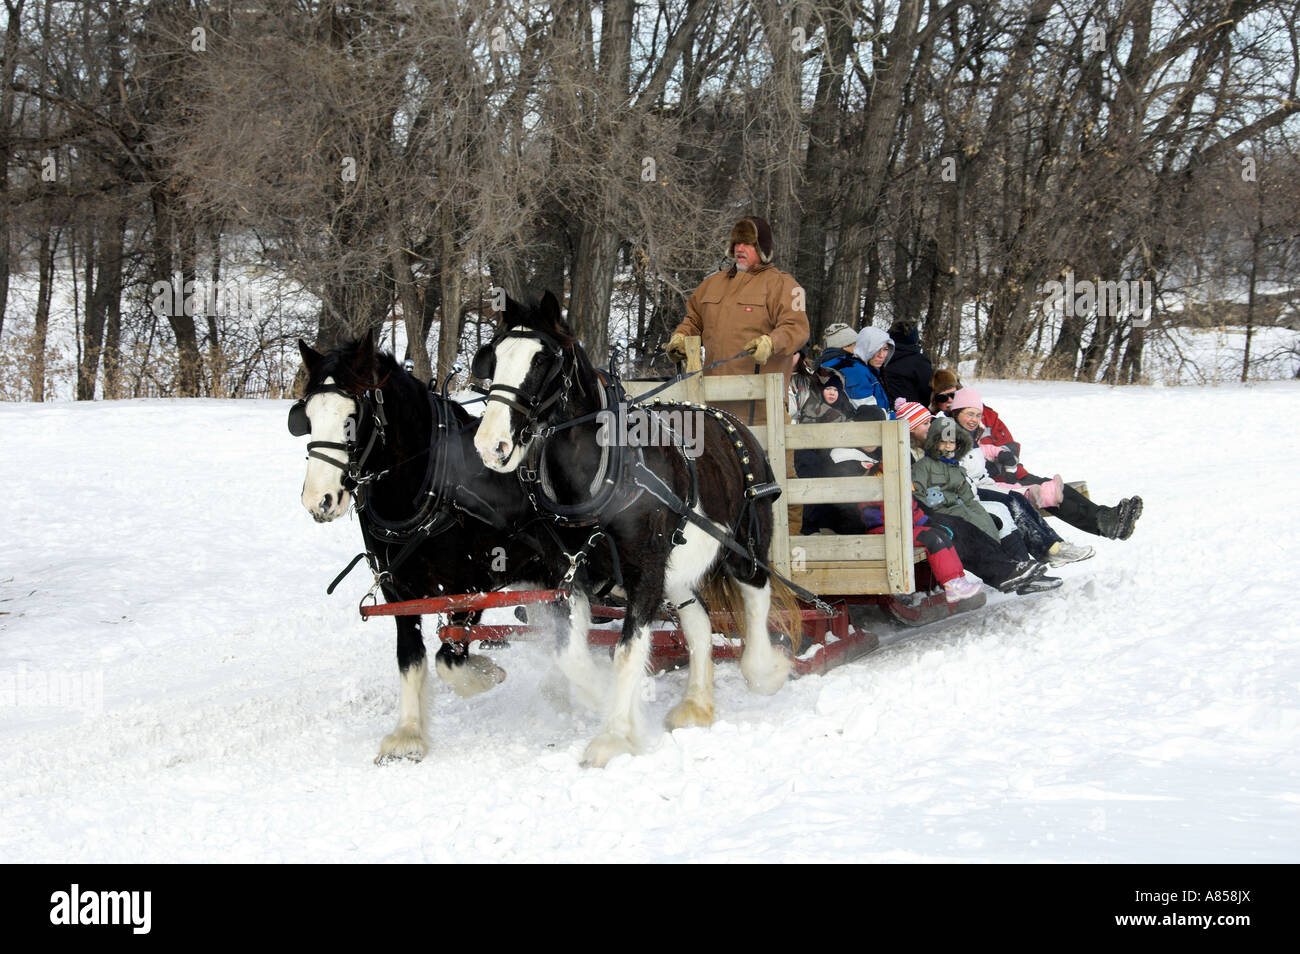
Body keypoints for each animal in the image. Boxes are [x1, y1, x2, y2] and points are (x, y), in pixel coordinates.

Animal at [292, 333, 552, 763]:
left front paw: (487, 672)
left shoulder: (471, 586)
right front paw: (408, 734)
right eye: (306, 417)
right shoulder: (399, 589)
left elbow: (450, 659)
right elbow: (410, 657)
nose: (319, 500)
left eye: (352, 417)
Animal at [472, 291, 797, 767]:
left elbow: (627, 650)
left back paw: (766, 671)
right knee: (699, 621)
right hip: (676, 568)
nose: (490, 445)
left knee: (756, 596)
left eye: (542, 359)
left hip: (743, 544)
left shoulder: (643, 572)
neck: (603, 472)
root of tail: (731, 421)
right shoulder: (570, 575)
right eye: (494, 357)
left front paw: (614, 737)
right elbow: (570, 653)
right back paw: (696, 705)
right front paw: (602, 695)